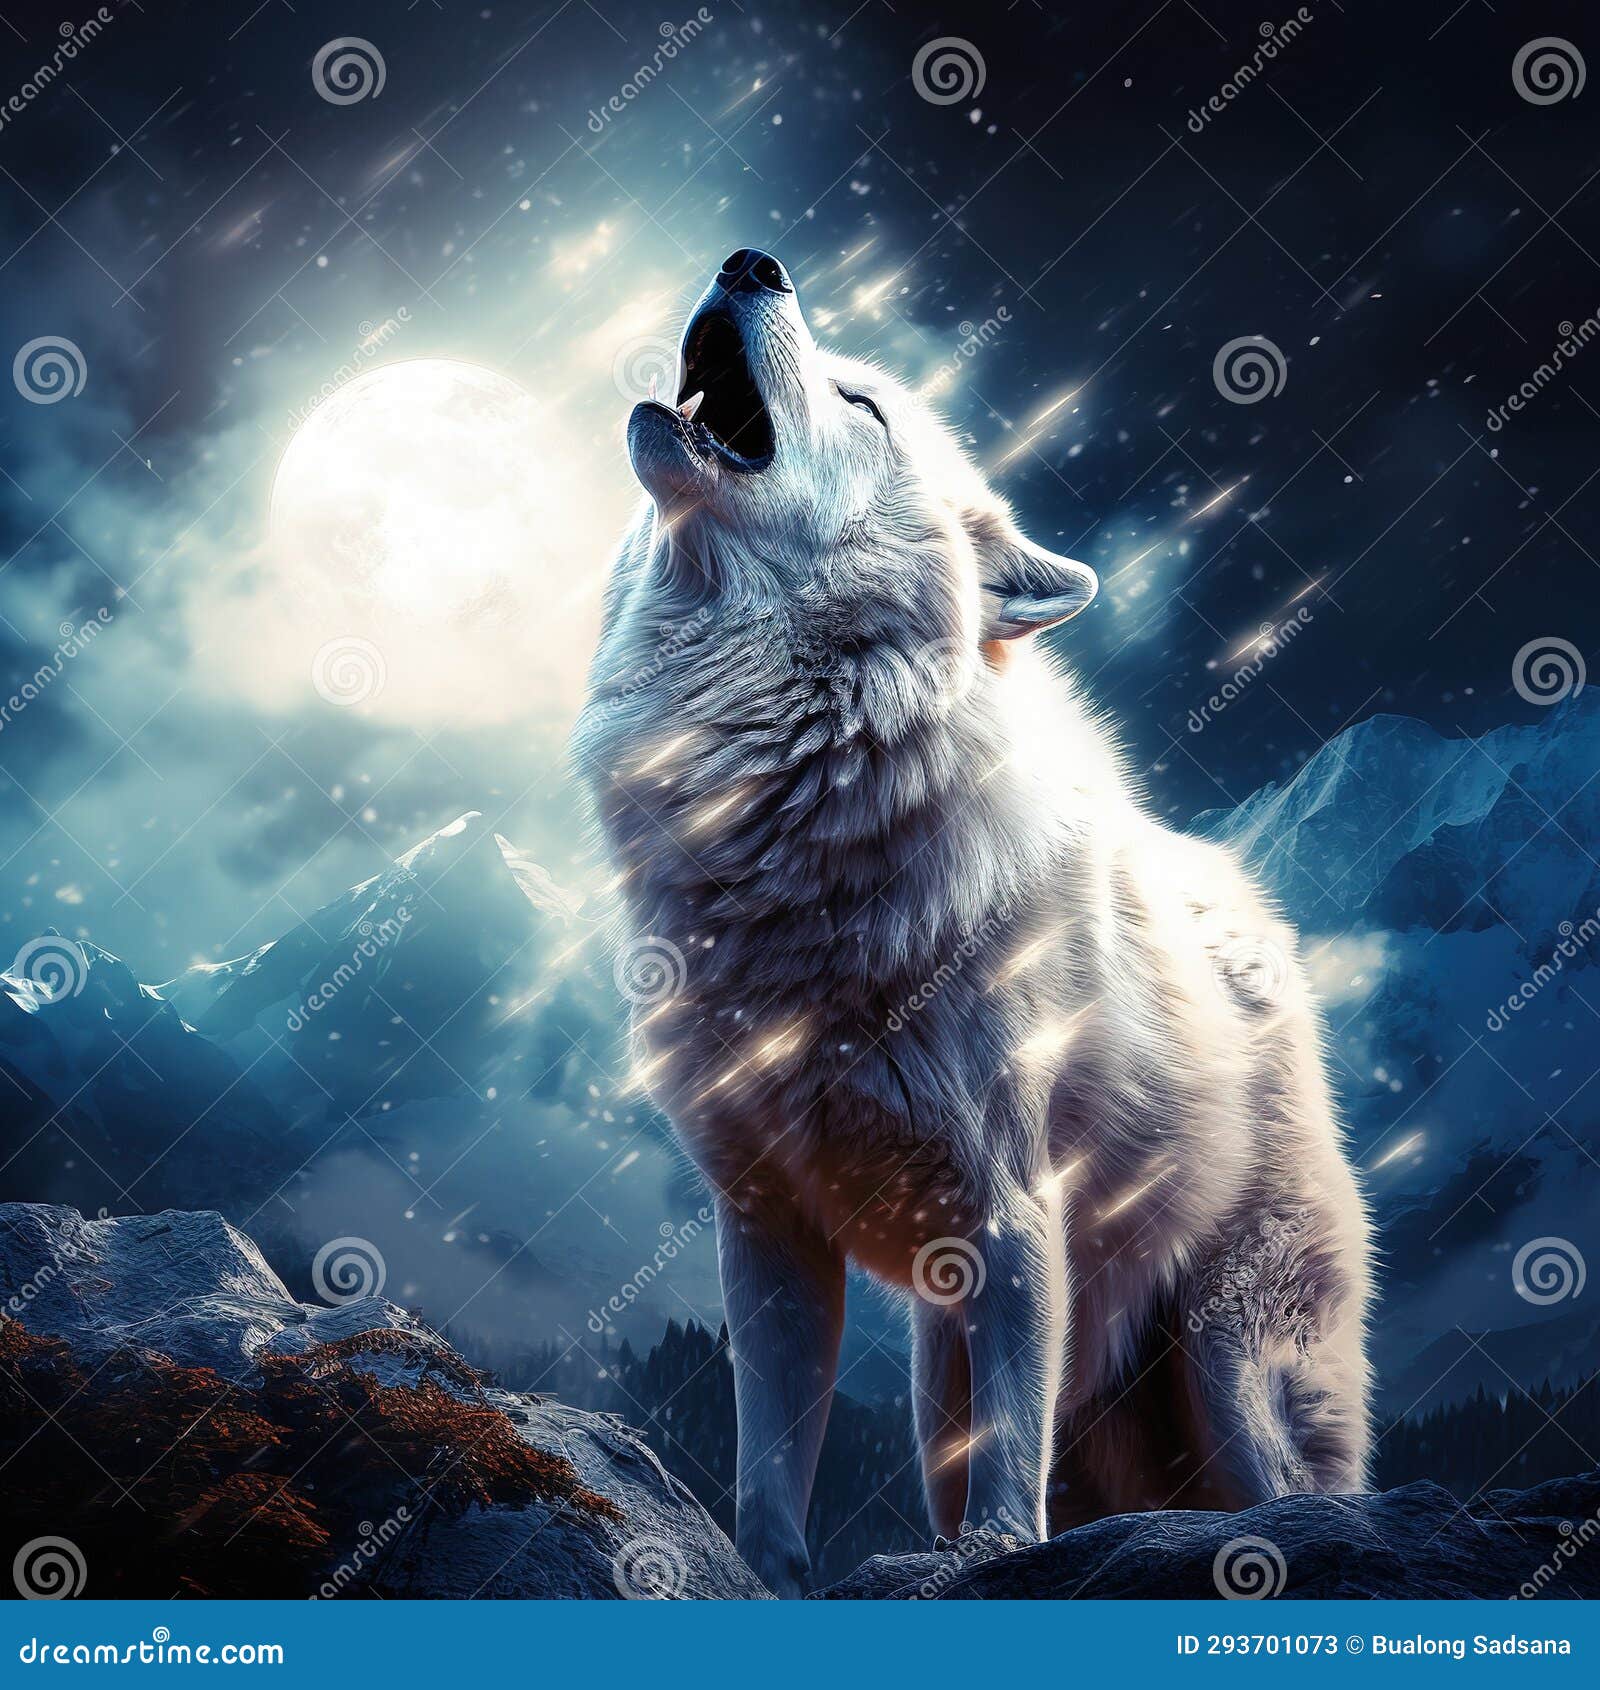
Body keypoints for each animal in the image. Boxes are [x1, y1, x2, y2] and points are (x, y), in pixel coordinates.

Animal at [572, 248, 1372, 1597]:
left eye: (863, 403)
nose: (749, 262)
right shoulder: (766, 1227)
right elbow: (770, 1458)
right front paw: (767, 1574)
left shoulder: (1011, 1212)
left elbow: (1009, 1459)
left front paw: (997, 1557)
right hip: (942, 1372)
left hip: (1226, 1355)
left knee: (1296, 1493)